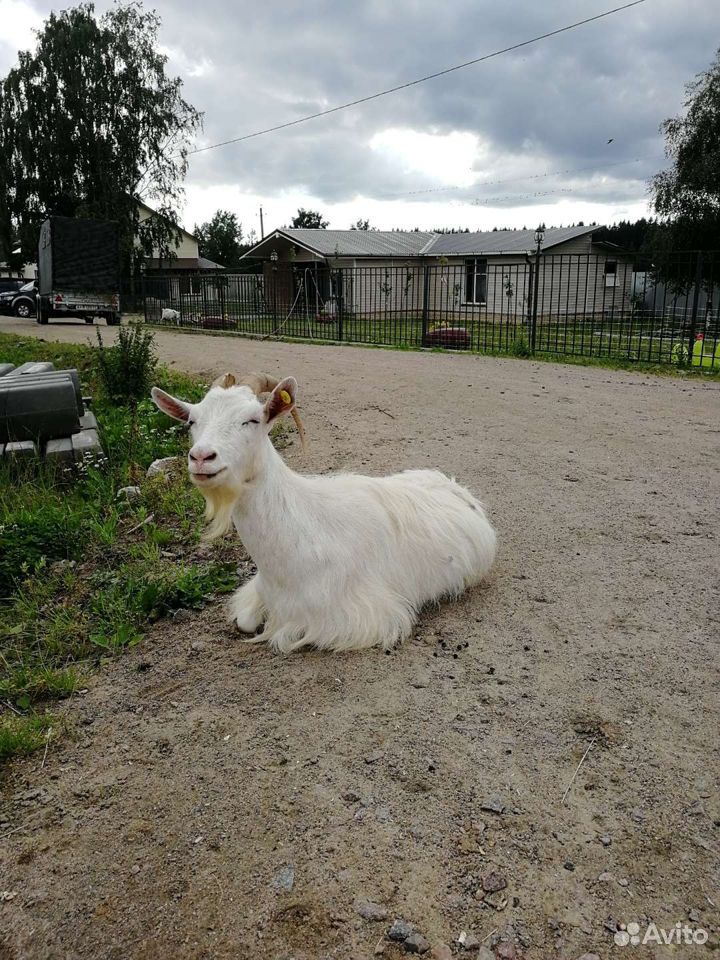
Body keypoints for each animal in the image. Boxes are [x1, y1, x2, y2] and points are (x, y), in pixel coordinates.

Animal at [151, 373, 496, 653]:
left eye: (252, 419)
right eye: (192, 421)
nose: (201, 457)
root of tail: (455, 486)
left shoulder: (354, 616)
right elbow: (245, 621)